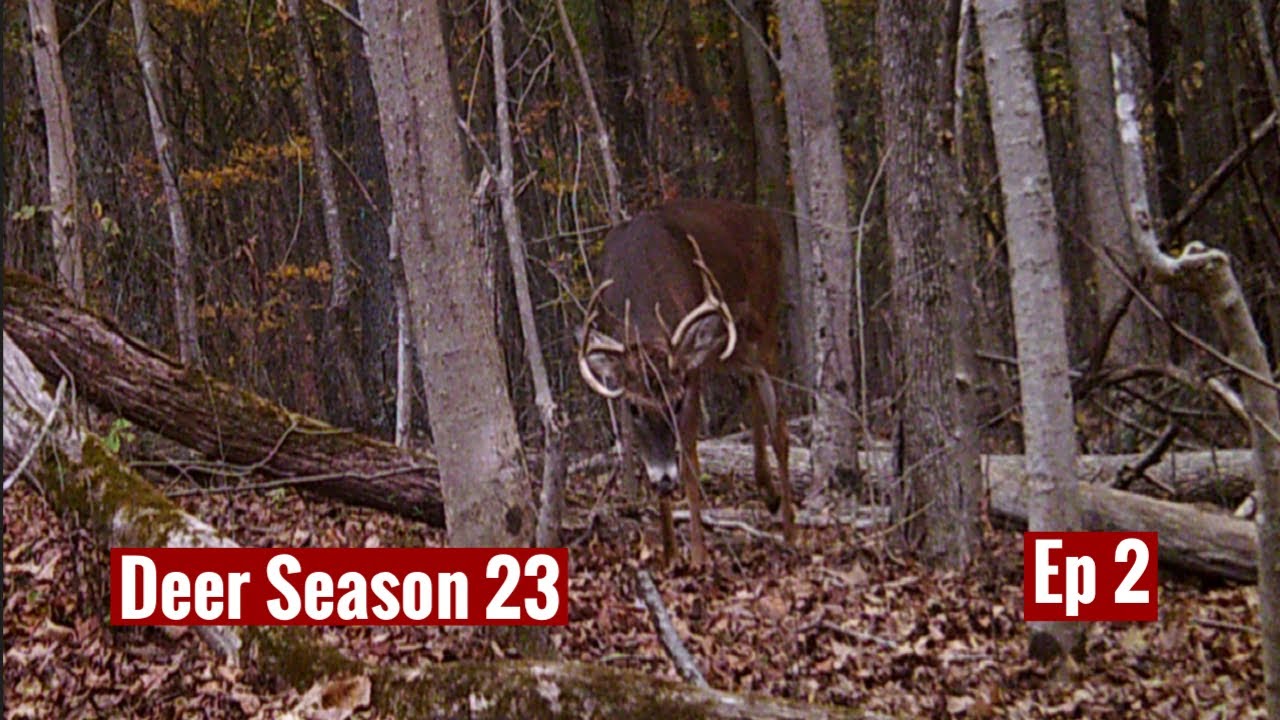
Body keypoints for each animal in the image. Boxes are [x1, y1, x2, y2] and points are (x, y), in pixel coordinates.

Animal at [577, 198, 796, 567]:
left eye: (676, 402)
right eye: (635, 408)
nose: (665, 479)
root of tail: (766, 219)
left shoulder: (689, 372)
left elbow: (691, 455)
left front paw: (696, 554)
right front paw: (668, 552)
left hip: (764, 321)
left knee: (779, 422)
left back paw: (791, 530)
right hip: (727, 345)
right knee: (752, 380)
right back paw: (767, 490)